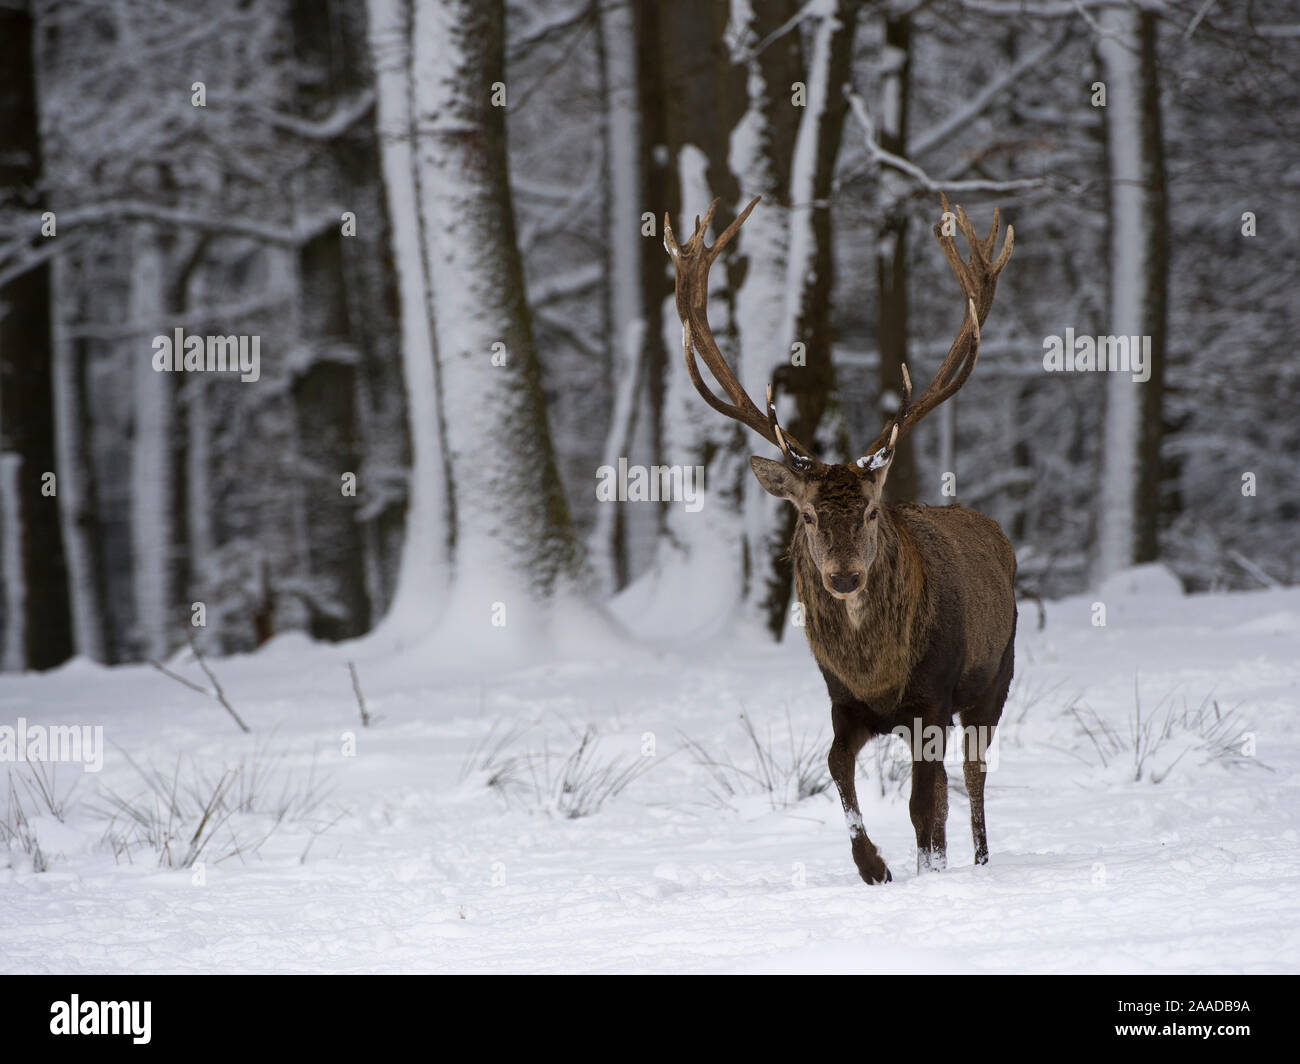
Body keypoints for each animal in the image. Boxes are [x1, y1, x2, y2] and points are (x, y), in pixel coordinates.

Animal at [663, 194, 1016, 885]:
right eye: (805, 516)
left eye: (874, 511)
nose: (845, 576)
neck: (878, 678)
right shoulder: (843, 703)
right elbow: (838, 770)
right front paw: (872, 864)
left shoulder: (932, 697)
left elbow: (923, 802)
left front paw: (923, 869)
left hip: (995, 678)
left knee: (972, 774)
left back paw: (981, 859)